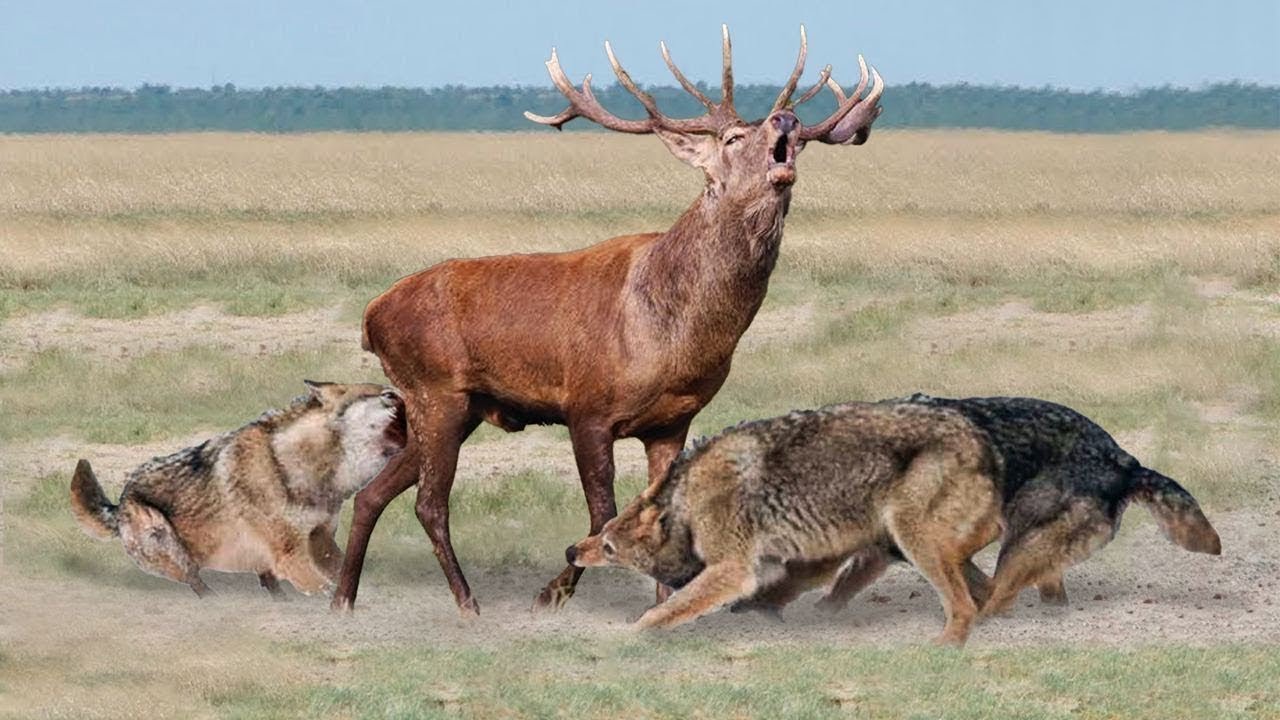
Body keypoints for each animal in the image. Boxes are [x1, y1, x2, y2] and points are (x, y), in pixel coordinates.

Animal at [330, 25, 884, 616]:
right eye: (734, 138)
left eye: (799, 141)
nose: (787, 121)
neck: (677, 336)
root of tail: (372, 315)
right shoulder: (587, 407)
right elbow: (603, 514)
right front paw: (551, 593)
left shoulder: (672, 422)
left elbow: (659, 512)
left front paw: (663, 602)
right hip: (437, 391)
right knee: (429, 503)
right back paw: (466, 603)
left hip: (459, 407)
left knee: (373, 492)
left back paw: (343, 598)